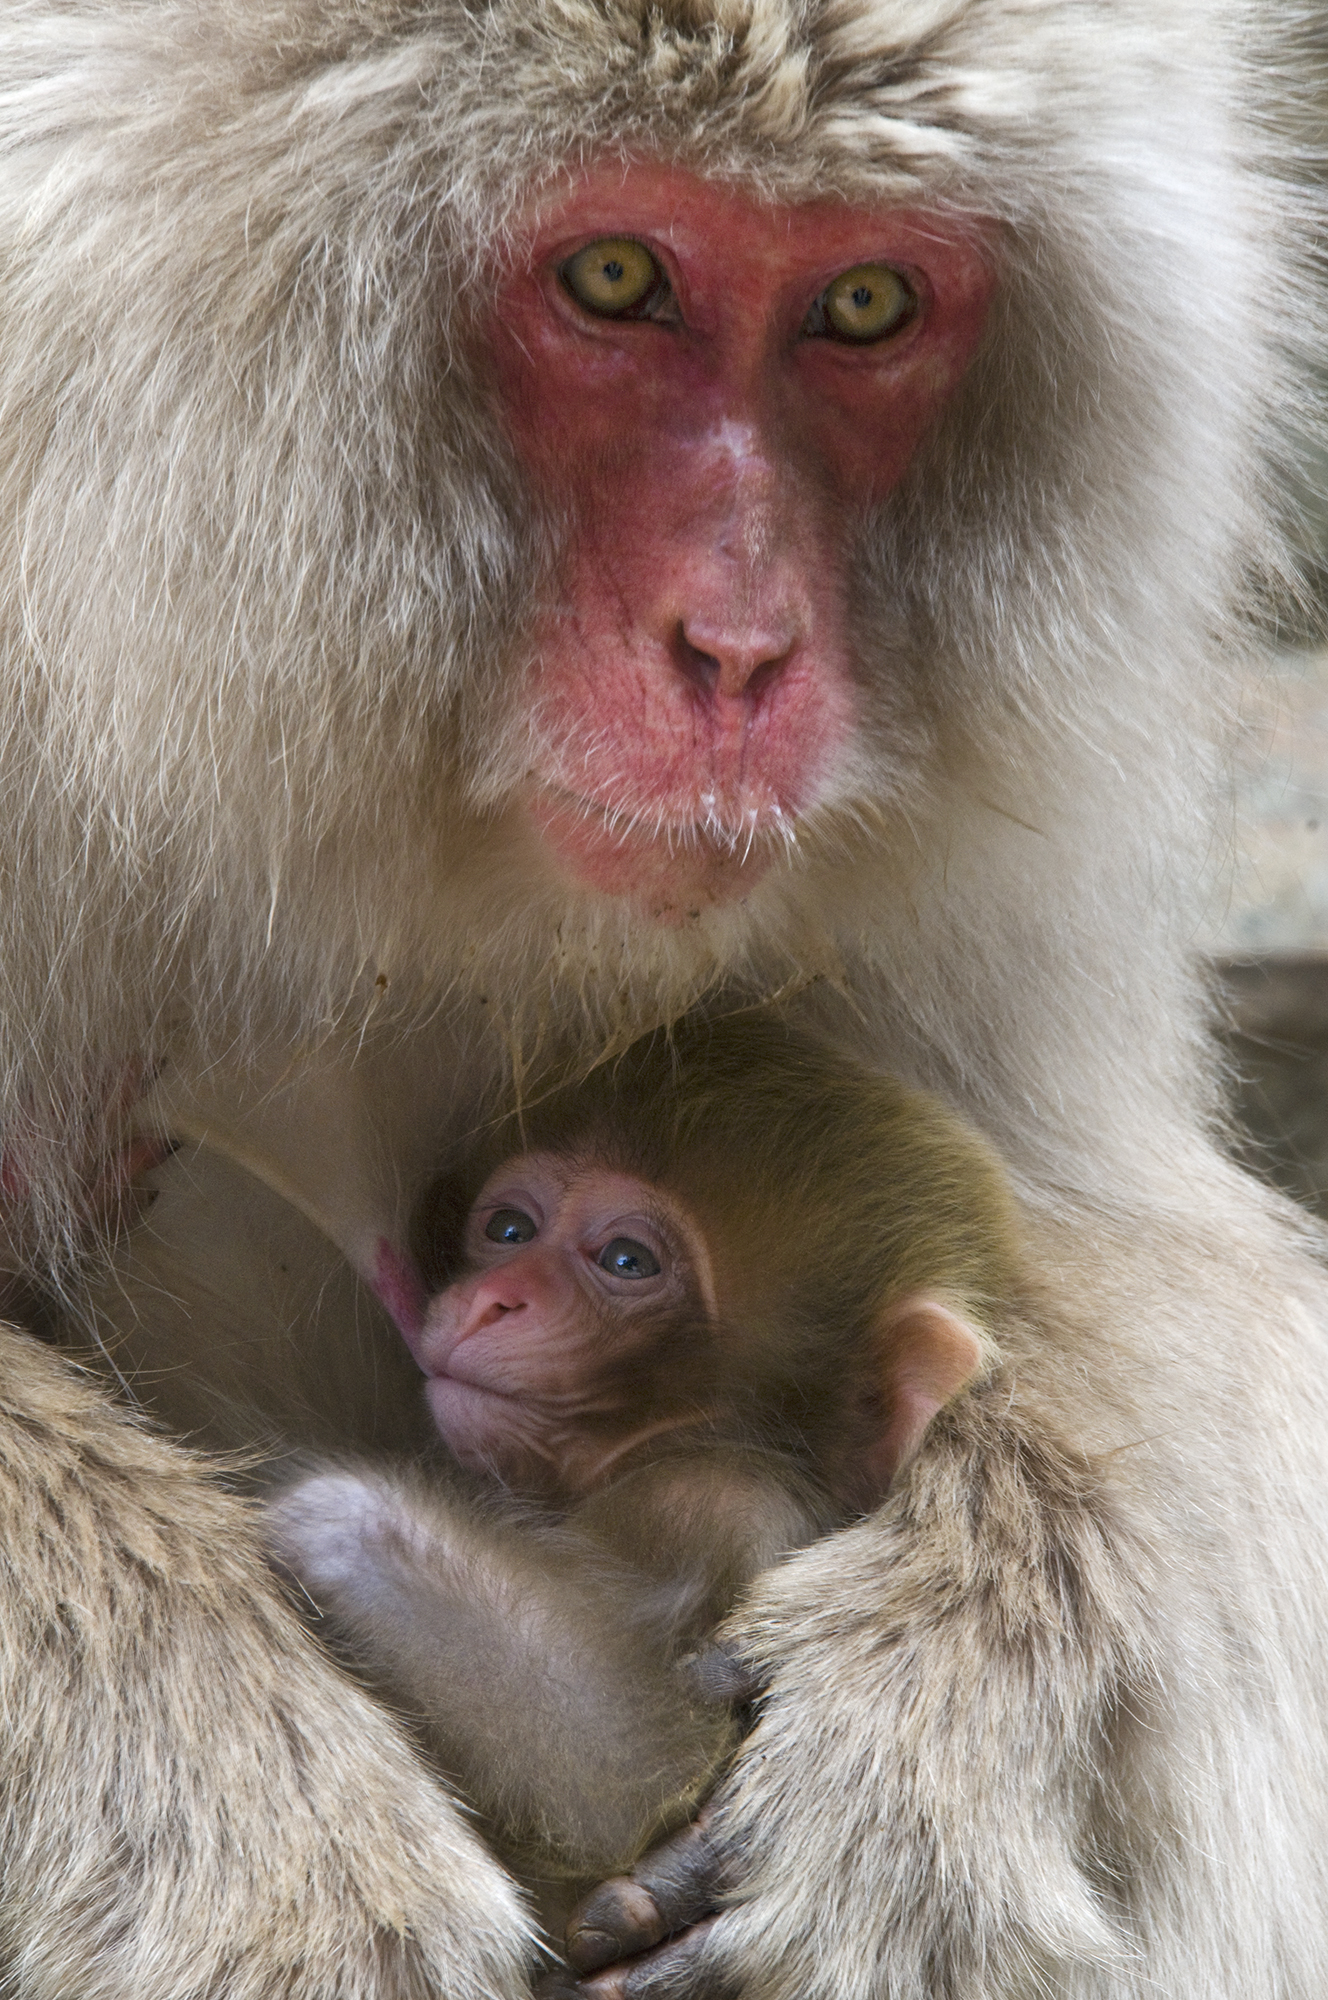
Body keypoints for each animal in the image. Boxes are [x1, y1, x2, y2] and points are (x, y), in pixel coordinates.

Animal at [262, 1017, 1019, 1920]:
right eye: (509, 1230)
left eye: (626, 1261)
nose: (493, 1299)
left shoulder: (702, 1499)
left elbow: (624, 1767)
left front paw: (313, 1511)